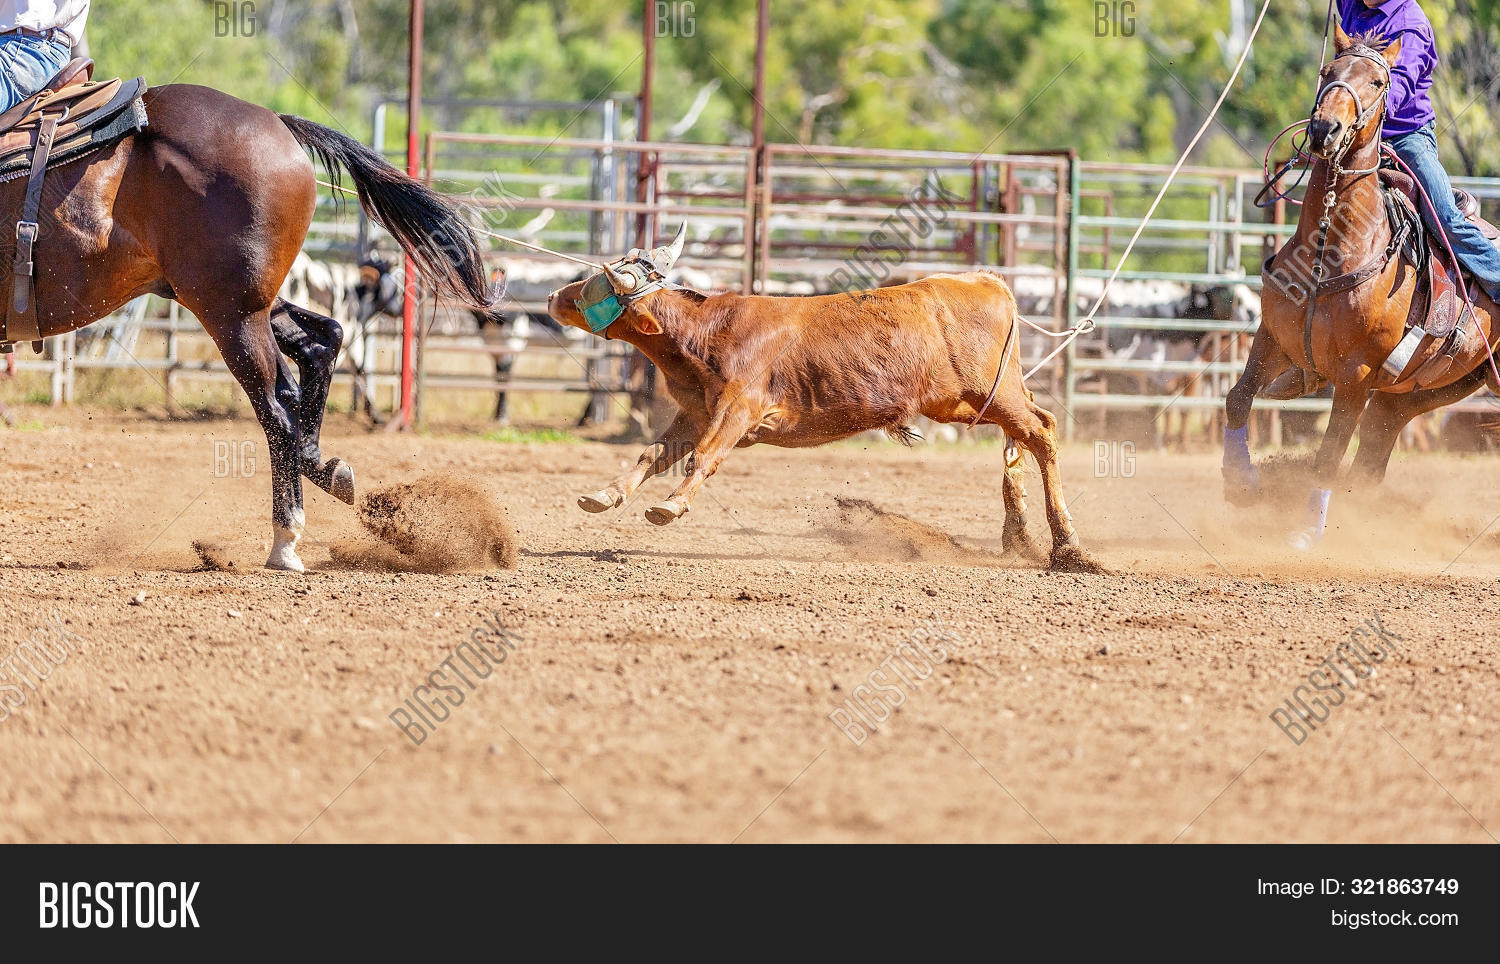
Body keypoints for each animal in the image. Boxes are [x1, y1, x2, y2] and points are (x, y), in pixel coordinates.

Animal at [545, 225, 1099, 572]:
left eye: (597, 285)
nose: (554, 295)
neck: (706, 332)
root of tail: (985, 280)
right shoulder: (696, 412)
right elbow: (652, 454)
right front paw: (605, 495)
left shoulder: (739, 409)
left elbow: (703, 457)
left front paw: (671, 506)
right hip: (968, 400)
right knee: (1023, 431)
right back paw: (1018, 534)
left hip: (993, 391)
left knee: (1042, 431)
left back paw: (1068, 546)